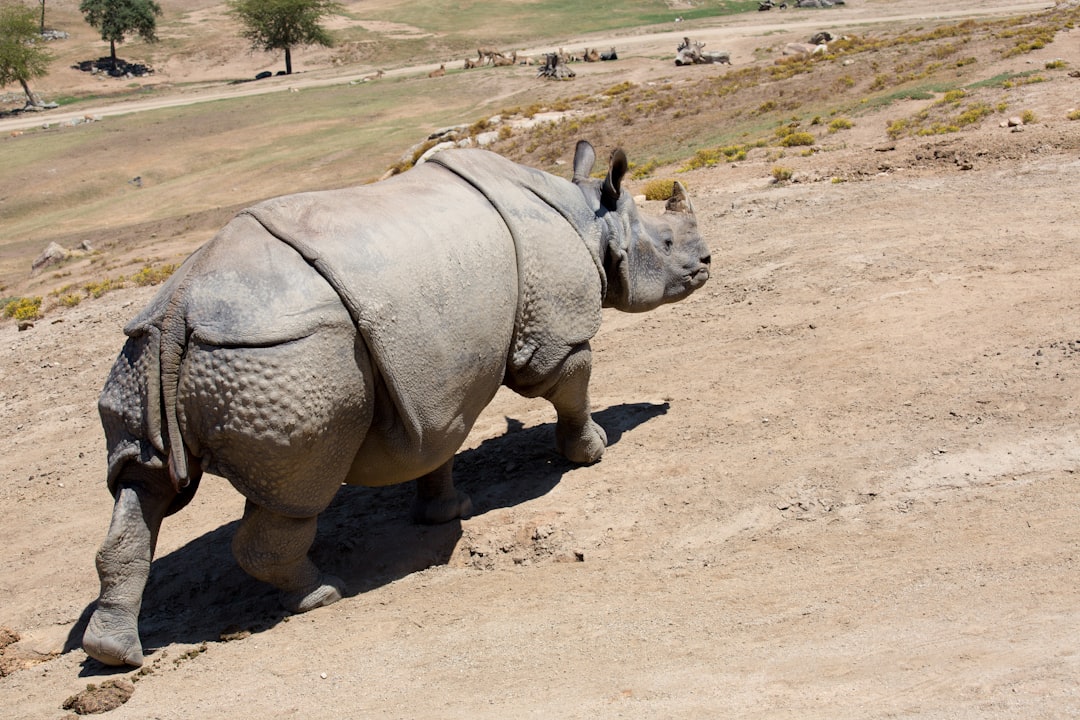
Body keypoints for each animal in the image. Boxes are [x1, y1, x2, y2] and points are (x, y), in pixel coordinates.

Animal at [83, 139, 711, 667]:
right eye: (667, 244)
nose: (707, 263)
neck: (588, 217)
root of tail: (179, 310)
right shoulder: (553, 335)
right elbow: (571, 385)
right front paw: (592, 452)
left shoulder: (437, 379)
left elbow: (440, 445)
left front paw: (446, 512)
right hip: (289, 354)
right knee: (298, 491)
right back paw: (324, 594)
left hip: (142, 356)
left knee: (141, 484)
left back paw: (113, 654)